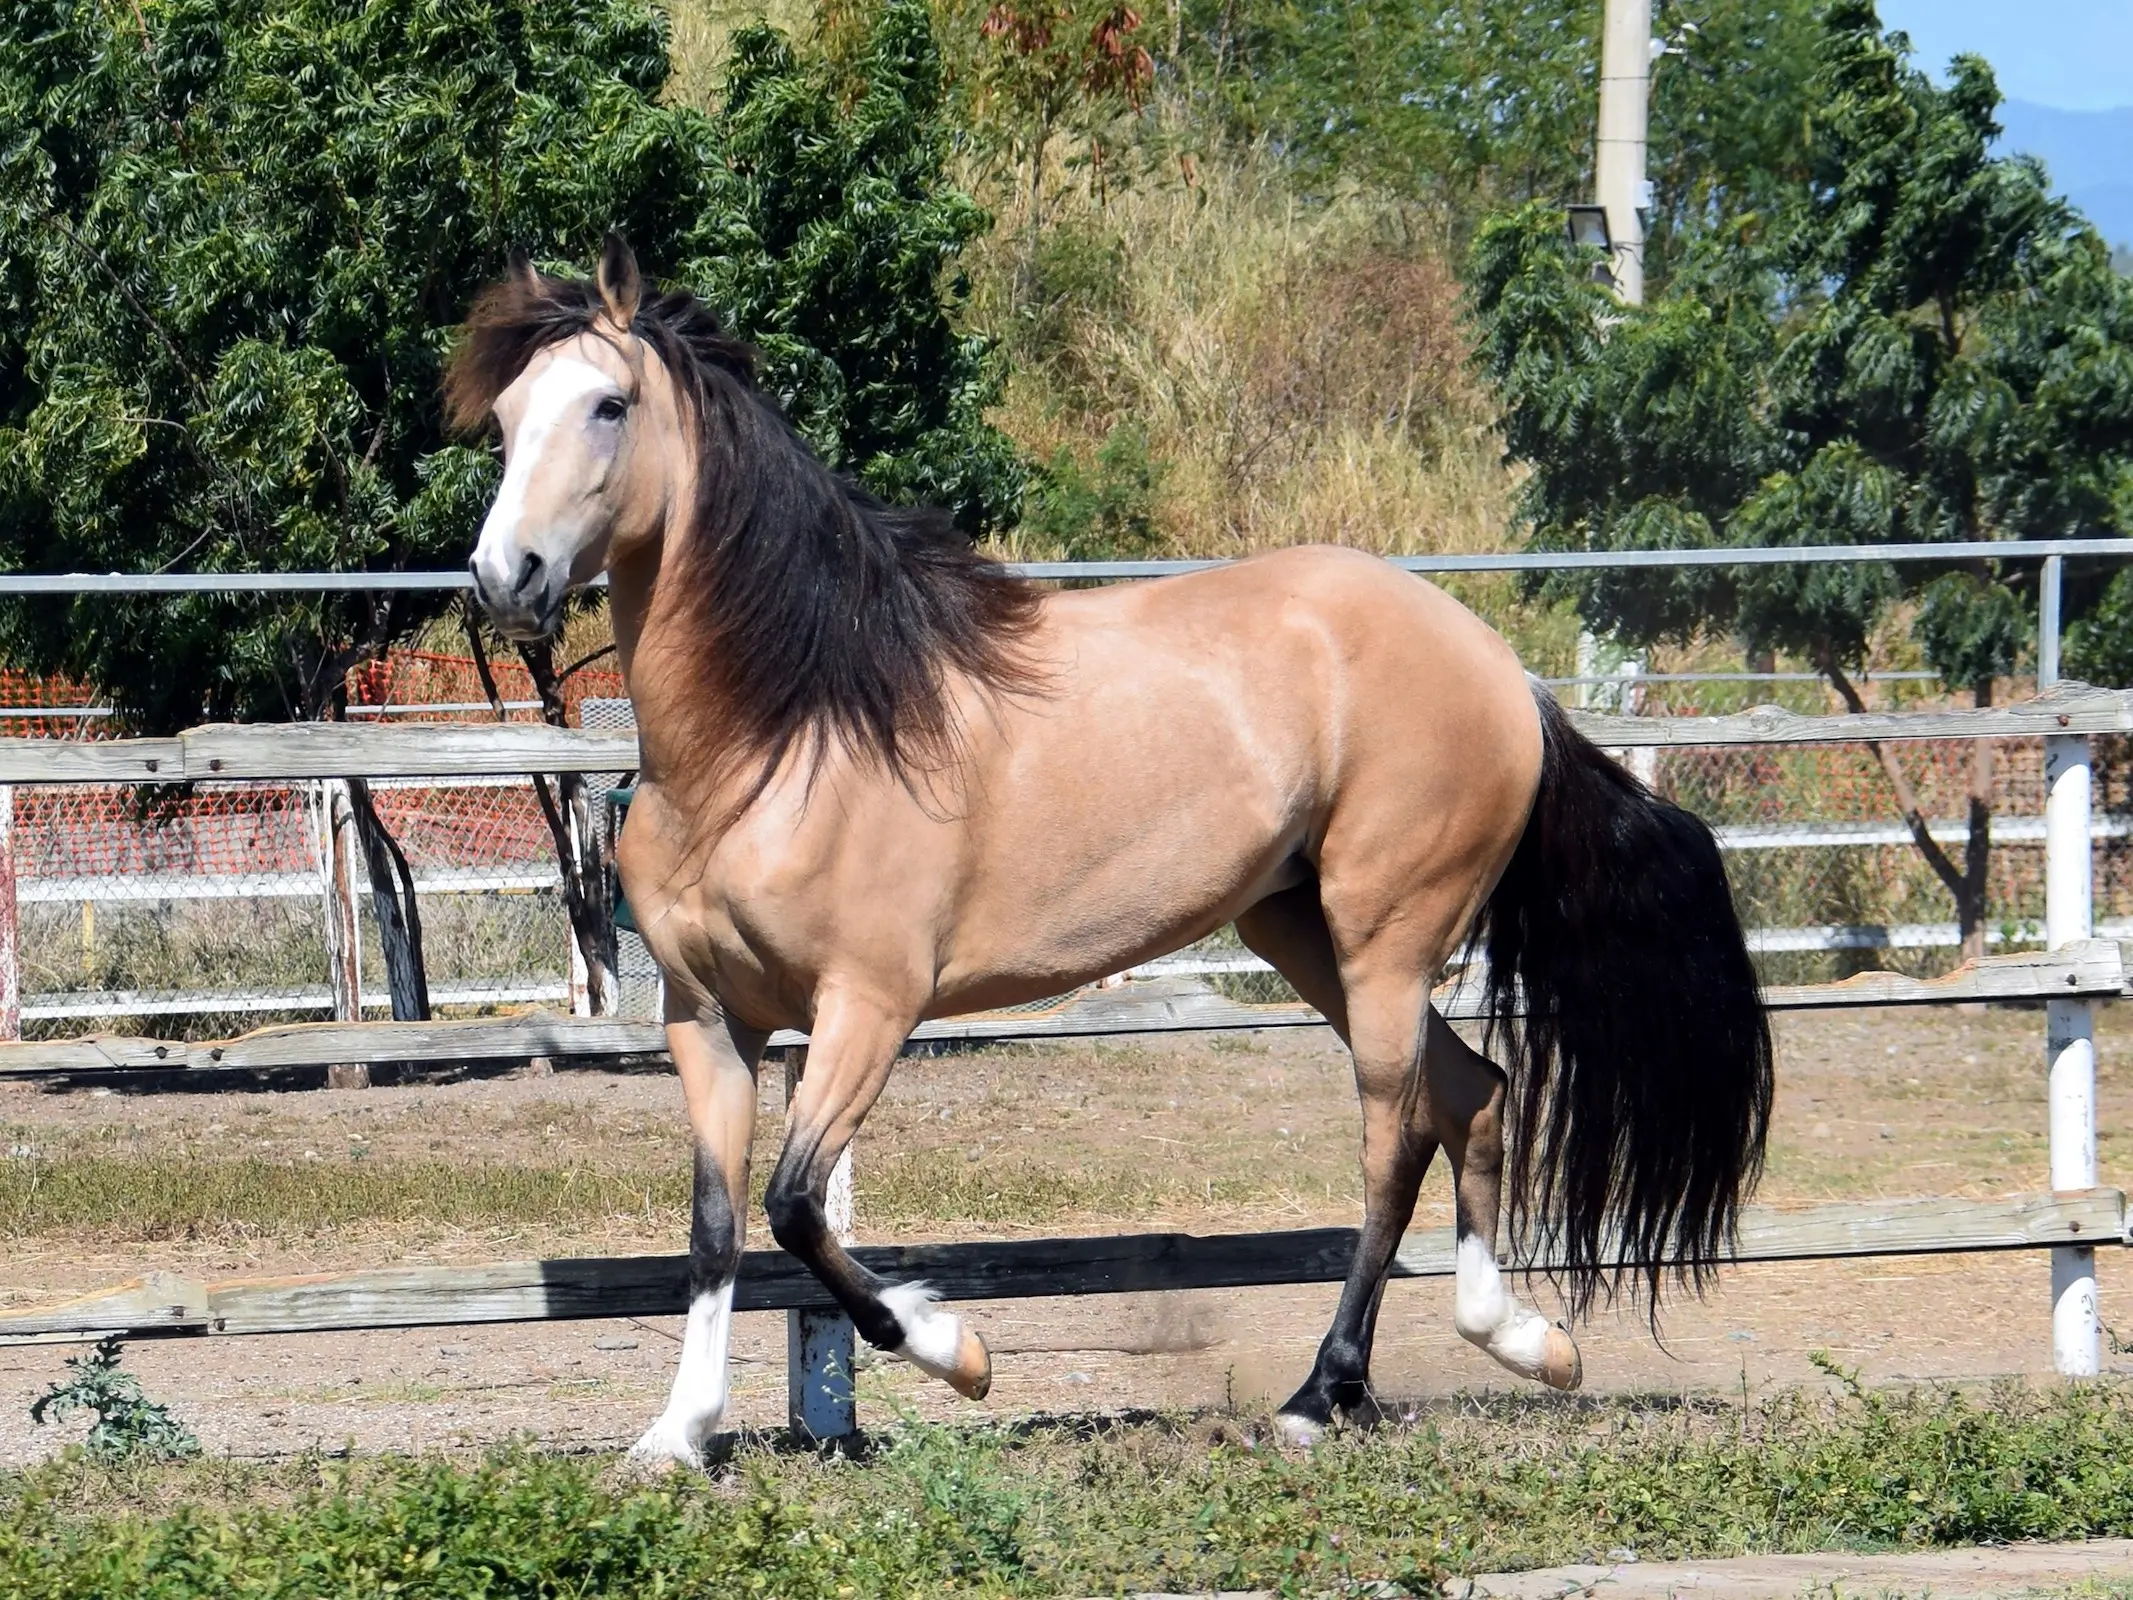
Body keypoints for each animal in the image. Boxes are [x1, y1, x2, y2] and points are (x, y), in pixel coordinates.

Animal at [449, 237, 1773, 1466]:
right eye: (508, 417)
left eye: (609, 404)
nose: (504, 578)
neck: (788, 732)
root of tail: (1507, 676)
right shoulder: (706, 1019)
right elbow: (717, 1226)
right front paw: (677, 1435)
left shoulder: (869, 1005)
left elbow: (793, 1207)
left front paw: (960, 1352)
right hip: (1302, 930)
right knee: (1476, 1091)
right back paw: (1526, 1342)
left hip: (1388, 937)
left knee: (1394, 1140)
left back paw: (1319, 1396)